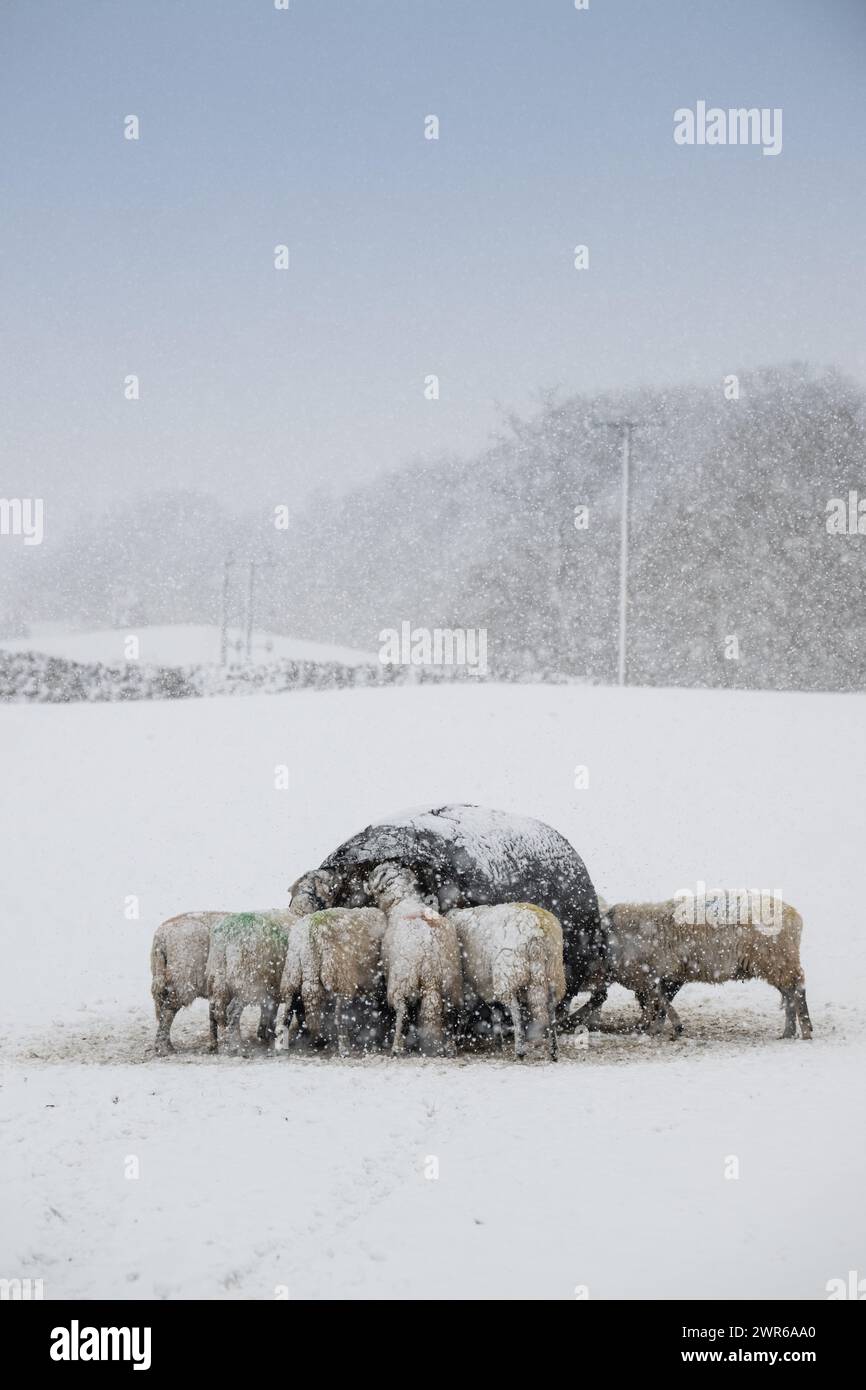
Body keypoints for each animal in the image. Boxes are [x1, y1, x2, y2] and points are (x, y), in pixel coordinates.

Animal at [150, 912, 227, 1055]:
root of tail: (161, 937)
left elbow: (213, 1013)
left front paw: (213, 1046)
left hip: (161, 975)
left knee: (164, 1009)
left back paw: (165, 1045)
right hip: (182, 978)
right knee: (168, 1010)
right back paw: (164, 1048)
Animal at [206, 910, 295, 1054]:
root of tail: (227, 934)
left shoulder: (271, 990)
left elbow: (268, 1012)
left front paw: (263, 1035)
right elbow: (279, 1014)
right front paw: (272, 1039)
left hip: (217, 979)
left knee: (214, 1011)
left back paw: (214, 1043)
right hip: (245, 982)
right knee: (232, 1012)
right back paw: (238, 1047)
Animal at [366, 863, 463, 1056]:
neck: (403, 900)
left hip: (402, 982)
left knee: (402, 1012)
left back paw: (397, 1047)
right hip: (451, 986)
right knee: (451, 1014)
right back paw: (450, 1048)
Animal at [447, 903, 566, 1059]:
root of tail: (536, 933)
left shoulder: (474, 983)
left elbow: (467, 1010)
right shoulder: (486, 985)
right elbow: (495, 1011)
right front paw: (499, 1043)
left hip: (508, 975)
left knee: (516, 1012)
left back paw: (520, 1050)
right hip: (553, 974)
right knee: (551, 1009)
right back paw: (554, 1050)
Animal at [599, 895, 813, 1039]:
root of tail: (795, 916)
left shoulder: (660, 973)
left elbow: (658, 1001)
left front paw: (653, 1029)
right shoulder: (670, 975)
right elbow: (661, 1001)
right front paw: (655, 1028)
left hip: (777, 960)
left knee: (797, 990)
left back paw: (805, 1031)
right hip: (776, 964)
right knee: (789, 995)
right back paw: (788, 1033)